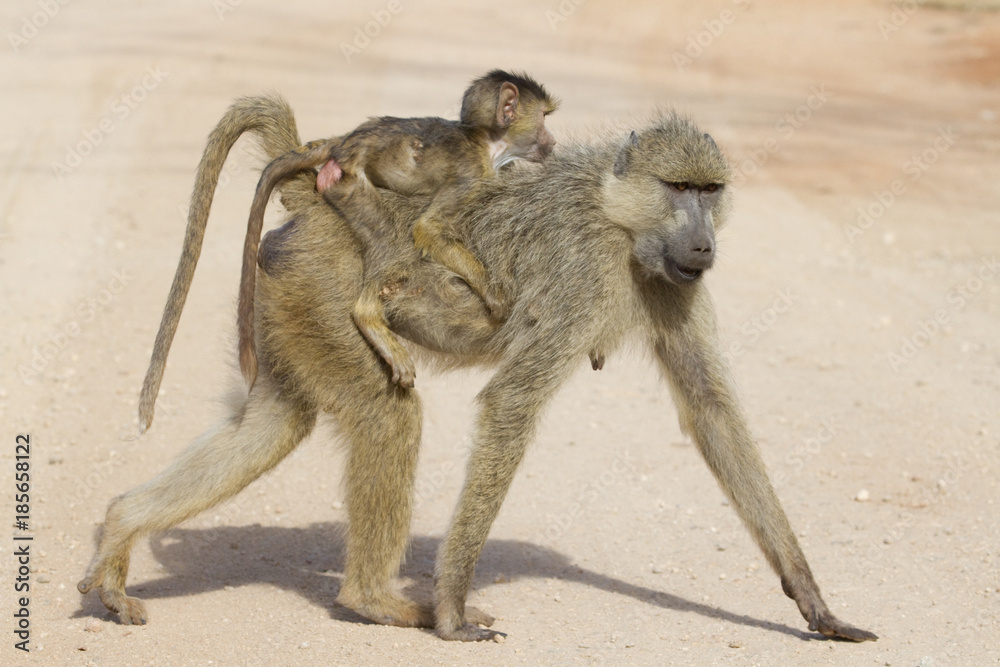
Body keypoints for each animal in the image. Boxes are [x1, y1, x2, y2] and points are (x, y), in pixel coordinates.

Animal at [235, 70, 559, 390]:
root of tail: (346, 141)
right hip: (347, 183)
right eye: (544, 117)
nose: (553, 141)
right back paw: (368, 317)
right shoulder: (472, 174)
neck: (487, 142)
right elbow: (427, 229)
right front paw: (494, 296)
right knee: (387, 238)